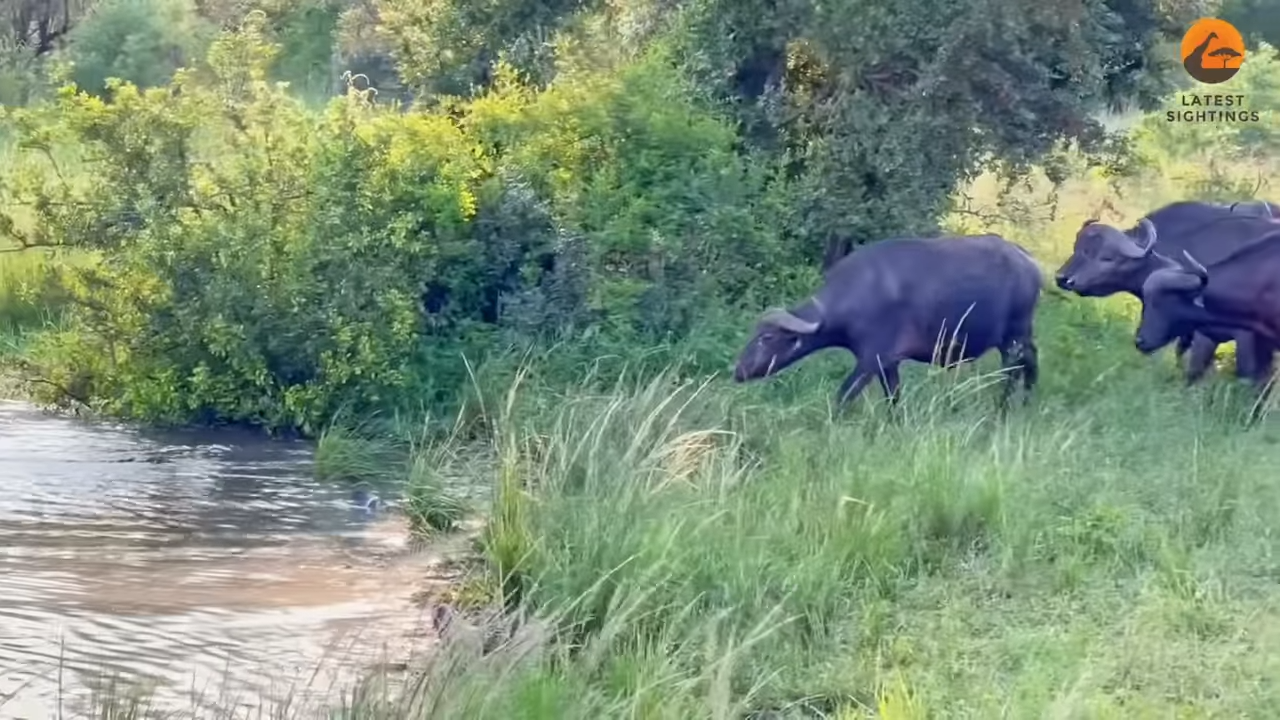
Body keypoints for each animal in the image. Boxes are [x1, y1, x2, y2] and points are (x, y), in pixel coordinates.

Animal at [733, 234, 1042, 408]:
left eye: (767, 338)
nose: (738, 370)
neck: (858, 293)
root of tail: (1029, 262)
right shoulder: (888, 364)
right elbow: (893, 399)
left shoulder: (870, 361)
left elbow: (843, 397)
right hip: (1019, 336)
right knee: (1030, 362)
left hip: (1013, 337)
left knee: (1014, 370)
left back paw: (1003, 408)